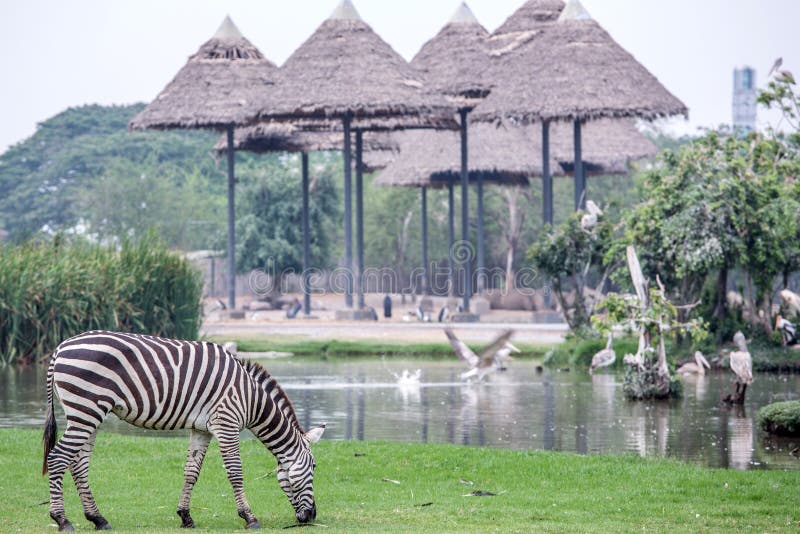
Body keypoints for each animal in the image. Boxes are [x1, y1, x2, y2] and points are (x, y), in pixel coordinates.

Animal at [42, 330, 325, 531]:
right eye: (314, 467)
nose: (311, 516)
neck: (250, 397)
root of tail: (61, 347)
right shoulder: (227, 423)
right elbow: (235, 473)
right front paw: (249, 517)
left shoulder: (202, 429)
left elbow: (191, 472)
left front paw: (185, 516)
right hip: (86, 409)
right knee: (57, 458)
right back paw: (62, 520)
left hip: (87, 413)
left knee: (78, 464)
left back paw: (98, 518)